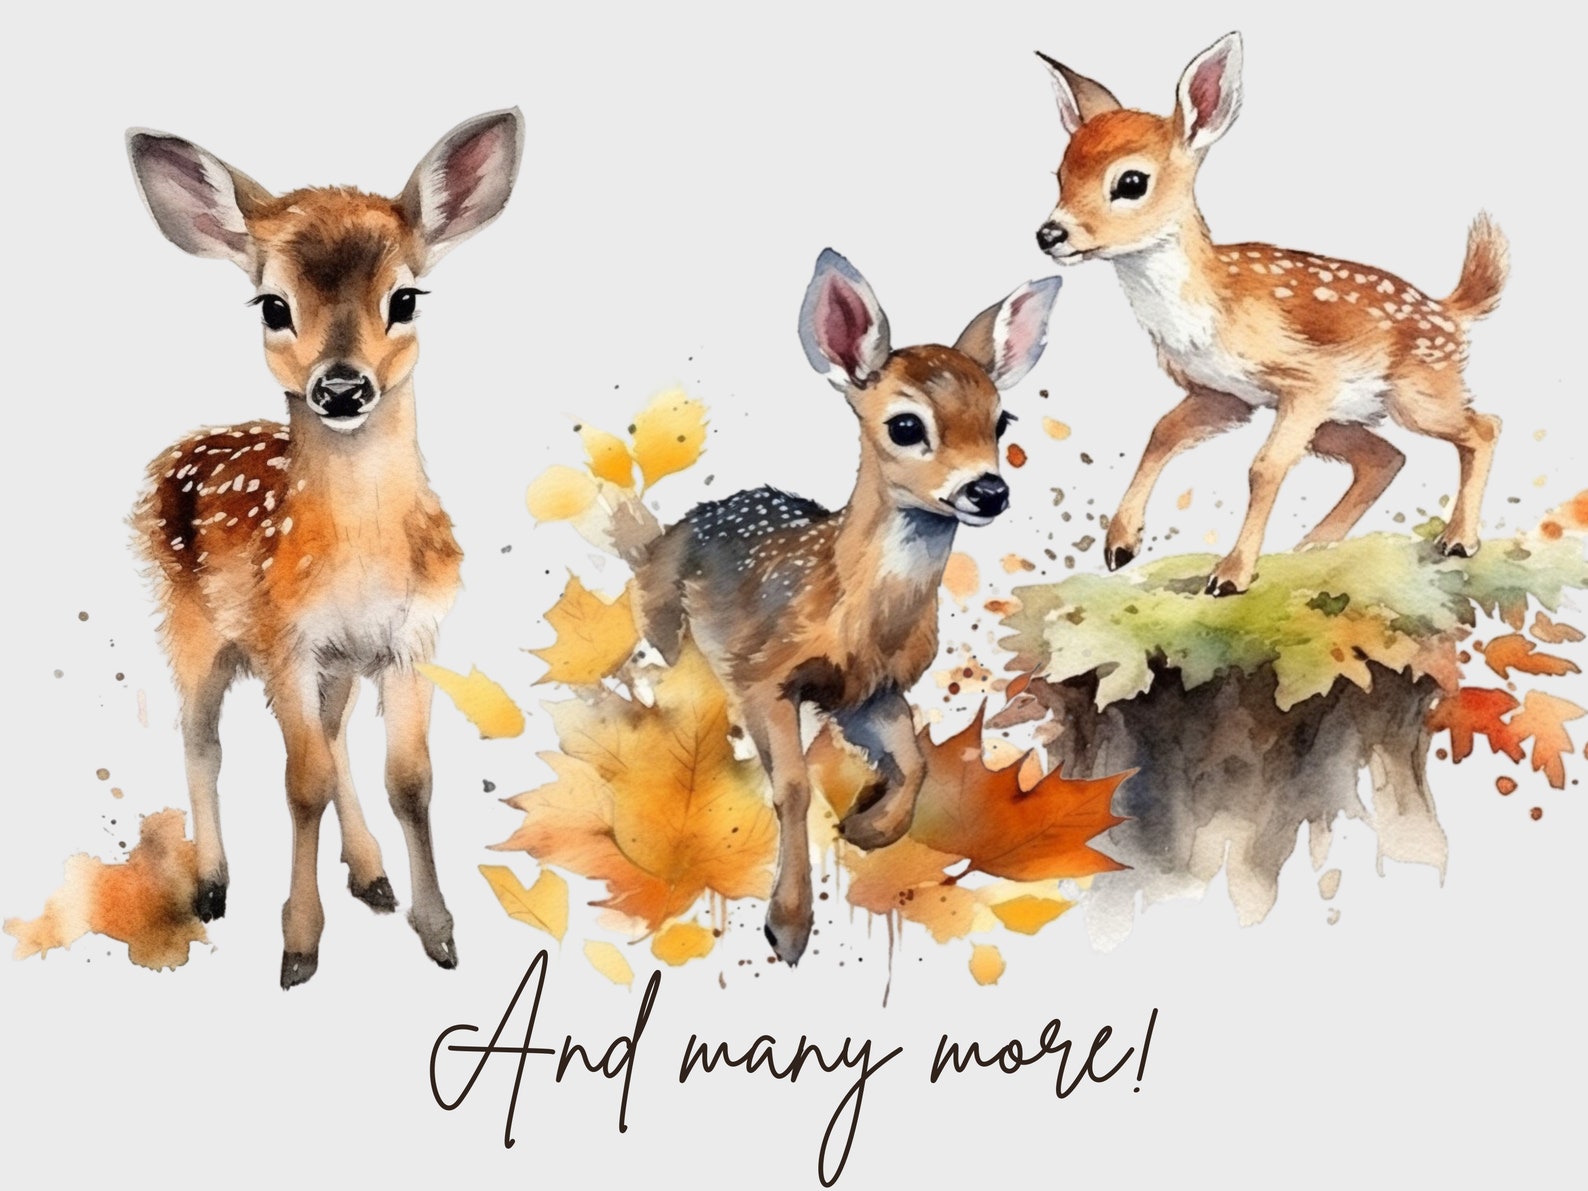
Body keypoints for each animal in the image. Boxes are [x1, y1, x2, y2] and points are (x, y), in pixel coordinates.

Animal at [126, 109, 523, 988]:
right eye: (272, 305)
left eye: (405, 297)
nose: (341, 388)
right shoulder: (286, 639)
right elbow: (298, 783)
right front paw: (299, 945)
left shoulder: (409, 640)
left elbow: (411, 780)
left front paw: (438, 932)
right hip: (187, 623)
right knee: (200, 738)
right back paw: (212, 883)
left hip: (333, 664)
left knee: (335, 737)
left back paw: (370, 873)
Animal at [633, 250, 1062, 965]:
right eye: (907, 424)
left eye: (1002, 421)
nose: (988, 490)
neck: (848, 615)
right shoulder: (761, 674)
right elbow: (793, 787)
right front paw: (788, 924)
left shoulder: (875, 690)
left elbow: (915, 761)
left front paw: (869, 822)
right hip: (667, 627)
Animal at [1033, 32, 1508, 596]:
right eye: (1059, 175)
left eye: (1130, 182)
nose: (1049, 234)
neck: (1211, 309)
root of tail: (1450, 309)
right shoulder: (1226, 394)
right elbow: (1162, 432)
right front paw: (1121, 544)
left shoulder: (1308, 380)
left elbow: (1264, 467)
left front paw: (1230, 575)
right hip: (1342, 416)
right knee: (1386, 456)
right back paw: (1313, 546)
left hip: (1416, 392)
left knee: (1483, 426)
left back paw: (1457, 539)